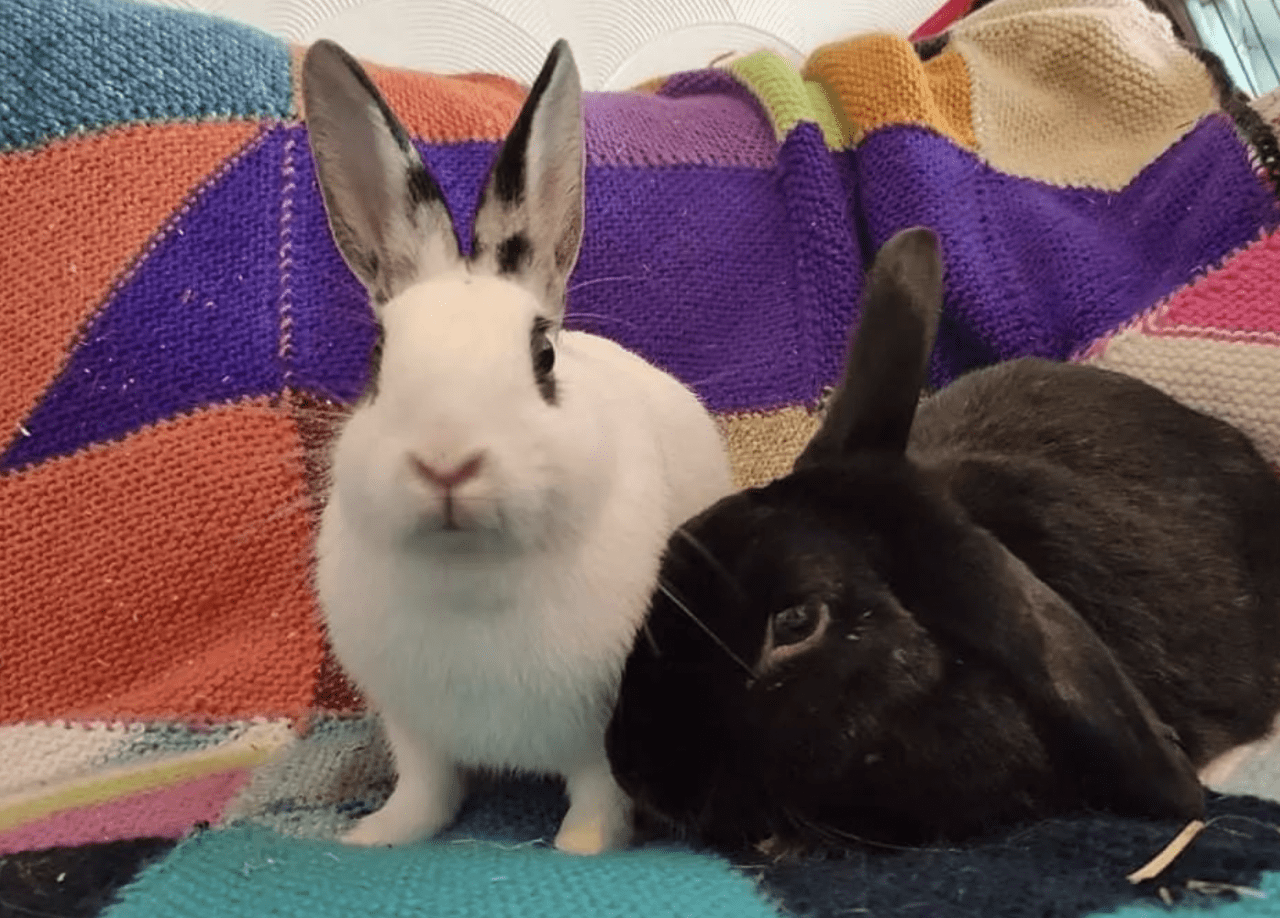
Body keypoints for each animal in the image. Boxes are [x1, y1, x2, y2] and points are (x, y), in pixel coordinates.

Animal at [303, 38, 733, 855]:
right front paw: (377, 837)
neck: (471, 579)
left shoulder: (599, 738)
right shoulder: (415, 730)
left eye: (544, 357)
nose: (446, 462)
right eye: (376, 360)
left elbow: (598, 797)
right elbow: (427, 792)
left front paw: (583, 850)